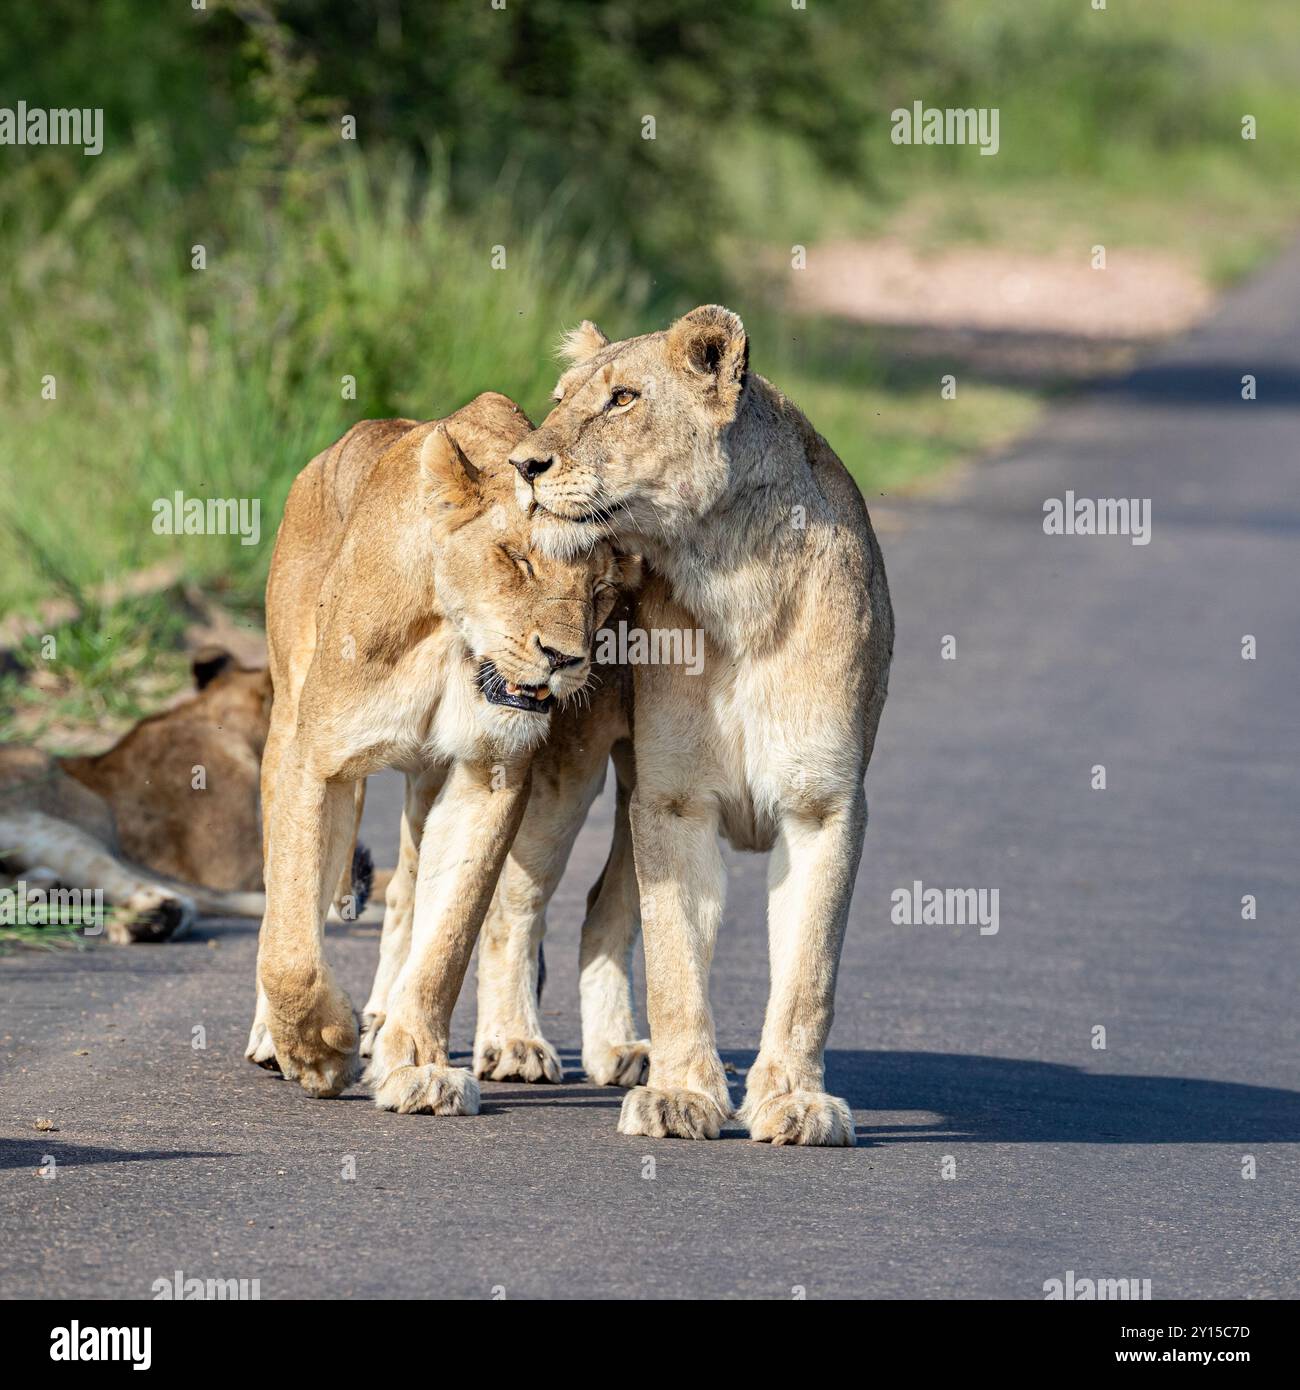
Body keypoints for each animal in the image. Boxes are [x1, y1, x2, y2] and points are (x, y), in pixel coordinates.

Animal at [245, 392, 639, 1107]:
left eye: (600, 590)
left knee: (408, 892)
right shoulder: (319, 760)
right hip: (287, 724)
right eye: (516, 559)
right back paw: (275, 1037)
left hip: (435, 780)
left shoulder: (490, 774)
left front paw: (415, 1065)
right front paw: (317, 1049)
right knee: (289, 899)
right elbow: (290, 928)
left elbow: (449, 934)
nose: (564, 658)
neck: (452, 643)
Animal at [499, 306, 895, 1146]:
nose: (523, 463)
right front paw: (681, 1096)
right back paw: (513, 1044)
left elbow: (807, 973)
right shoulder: (675, 803)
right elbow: (676, 962)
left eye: (623, 399)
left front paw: (793, 1102)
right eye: (558, 399)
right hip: (570, 771)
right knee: (516, 902)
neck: (730, 577)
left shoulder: (824, 805)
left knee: (600, 911)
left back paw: (619, 1050)